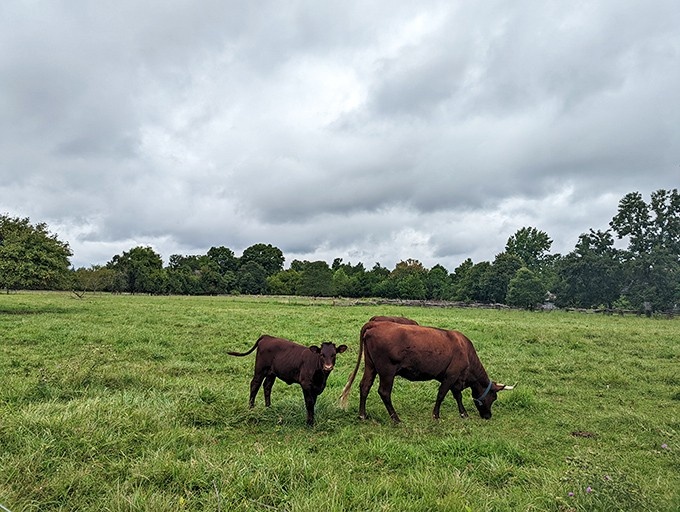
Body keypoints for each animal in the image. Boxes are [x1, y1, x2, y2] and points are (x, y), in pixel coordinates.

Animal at [340, 321, 513, 422]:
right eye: (494, 397)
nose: (488, 416)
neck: (466, 351)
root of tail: (376, 324)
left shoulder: (456, 379)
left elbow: (457, 395)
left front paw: (463, 413)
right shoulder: (451, 375)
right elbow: (442, 394)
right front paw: (436, 415)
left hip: (371, 365)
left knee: (365, 386)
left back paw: (362, 415)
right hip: (387, 370)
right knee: (384, 392)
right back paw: (396, 418)